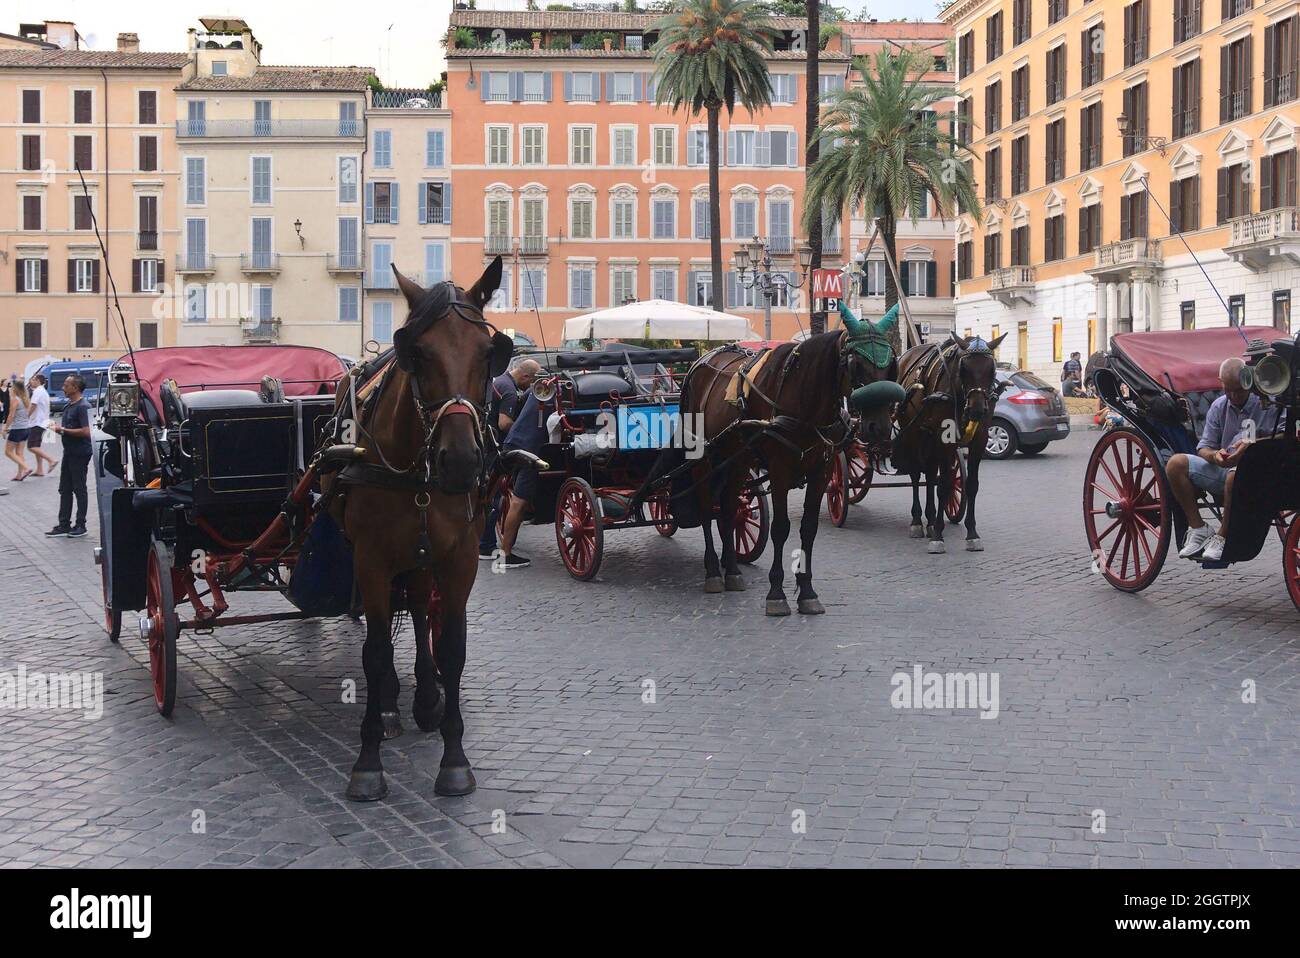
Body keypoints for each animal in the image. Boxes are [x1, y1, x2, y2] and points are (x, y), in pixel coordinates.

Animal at [321, 257, 512, 802]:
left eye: (490, 354)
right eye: (418, 354)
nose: (461, 461)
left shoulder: (461, 557)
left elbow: (451, 647)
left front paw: (454, 758)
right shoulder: (370, 558)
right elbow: (375, 650)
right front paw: (368, 760)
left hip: (425, 554)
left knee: (422, 607)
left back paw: (425, 699)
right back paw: (389, 706)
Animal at [679, 303, 903, 616]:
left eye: (890, 365)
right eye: (855, 364)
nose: (879, 428)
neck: (803, 402)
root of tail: (701, 362)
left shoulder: (822, 471)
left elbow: (808, 527)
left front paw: (807, 591)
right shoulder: (779, 470)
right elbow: (781, 528)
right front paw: (776, 593)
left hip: (737, 459)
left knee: (728, 508)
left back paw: (732, 569)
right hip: (702, 457)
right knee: (703, 505)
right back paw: (713, 570)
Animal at [892, 331, 1006, 554]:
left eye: (992, 369)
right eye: (964, 369)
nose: (977, 410)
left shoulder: (980, 440)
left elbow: (971, 485)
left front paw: (972, 534)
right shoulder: (943, 438)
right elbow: (943, 485)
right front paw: (938, 536)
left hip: (928, 437)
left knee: (929, 473)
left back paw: (929, 520)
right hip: (913, 433)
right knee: (916, 474)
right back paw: (918, 521)